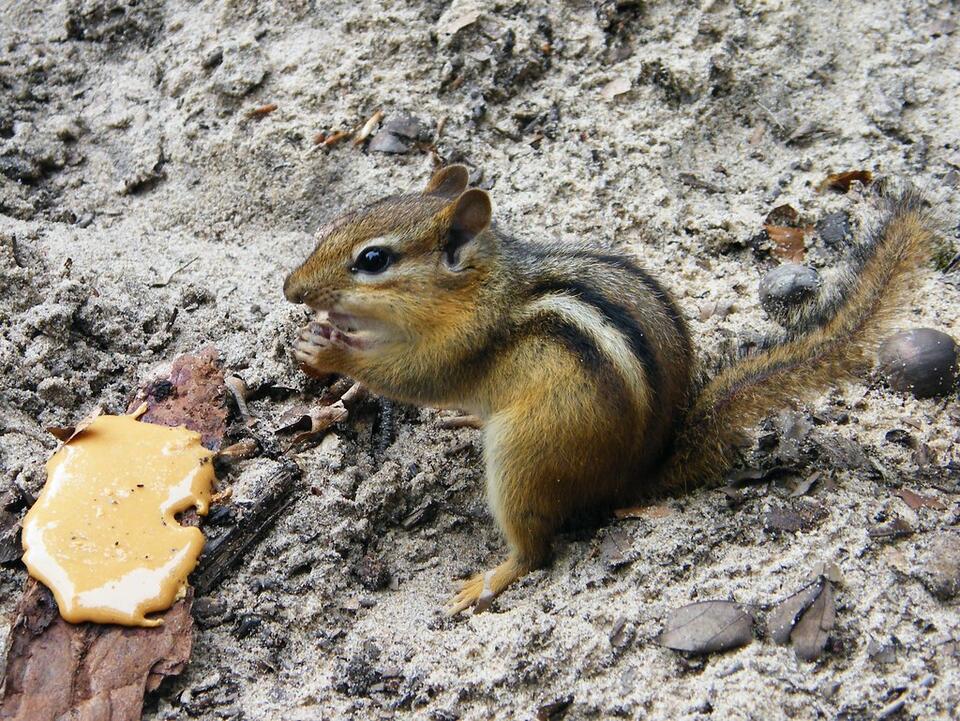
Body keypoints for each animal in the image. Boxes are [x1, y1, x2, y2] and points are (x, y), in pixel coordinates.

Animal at [284, 165, 933, 614]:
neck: (479, 286)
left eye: (373, 260)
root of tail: (634, 476)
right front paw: (319, 336)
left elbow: (413, 377)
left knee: (535, 551)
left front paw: (330, 350)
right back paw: (470, 421)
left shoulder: (461, 346)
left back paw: (488, 581)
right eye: (339, 225)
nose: (291, 289)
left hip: (524, 458)